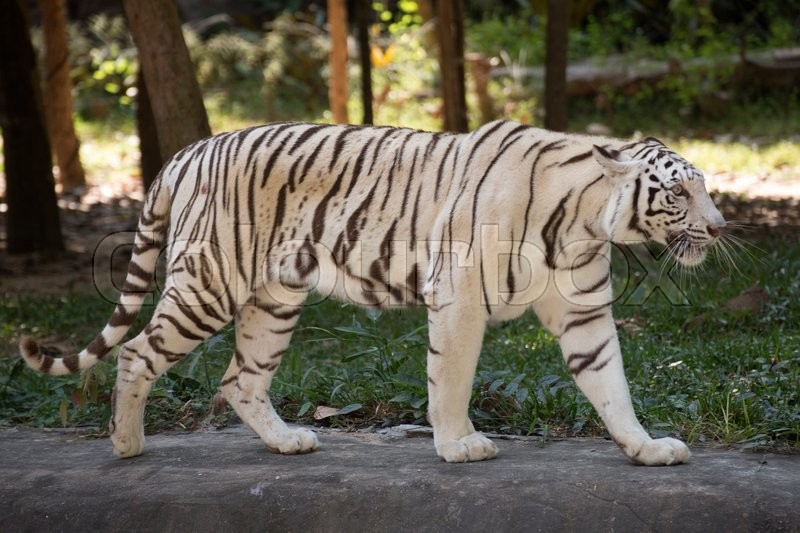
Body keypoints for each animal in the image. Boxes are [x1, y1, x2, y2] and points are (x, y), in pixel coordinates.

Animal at [20, 120, 726, 465]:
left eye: (705, 188)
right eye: (679, 191)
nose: (721, 226)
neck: (584, 221)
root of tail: (189, 150)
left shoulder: (583, 313)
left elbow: (611, 385)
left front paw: (645, 449)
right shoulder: (458, 298)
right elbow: (452, 380)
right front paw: (457, 446)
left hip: (275, 299)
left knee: (239, 379)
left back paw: (288, 442)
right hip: (210, 283)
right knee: (137, 351)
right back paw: (126, 444)